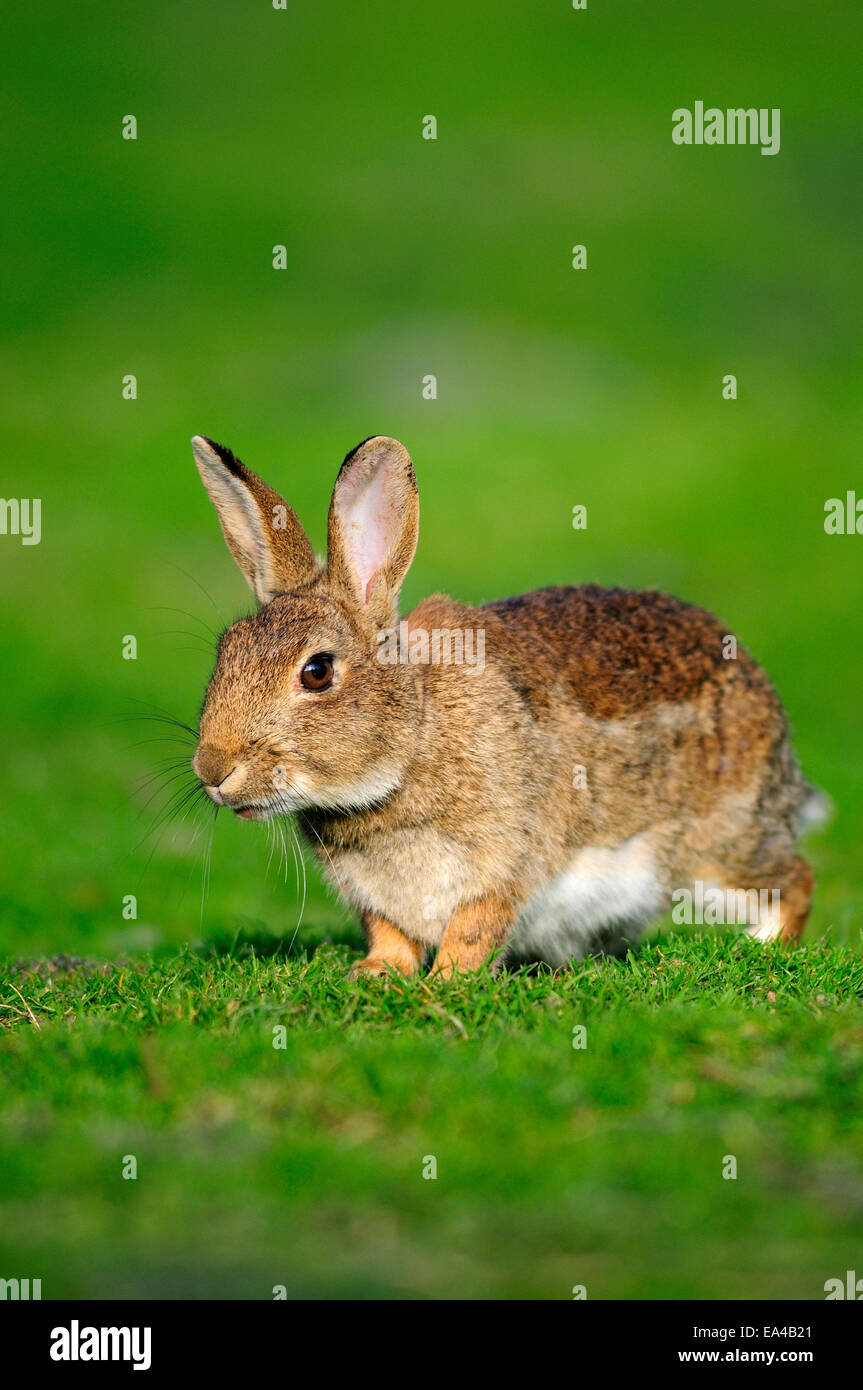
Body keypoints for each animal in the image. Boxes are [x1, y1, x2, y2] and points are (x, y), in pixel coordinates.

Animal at [190, 433, 826, 978]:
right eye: (224, 651)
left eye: (317, 672)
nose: (213, 770)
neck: (415, 738)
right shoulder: (378, 896)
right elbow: (391, 934)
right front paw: (375, 975)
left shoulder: (505, 860)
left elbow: (475, 928)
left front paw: (447, 982)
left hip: (721, 850)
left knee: (794, 878)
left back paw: (762, 946)